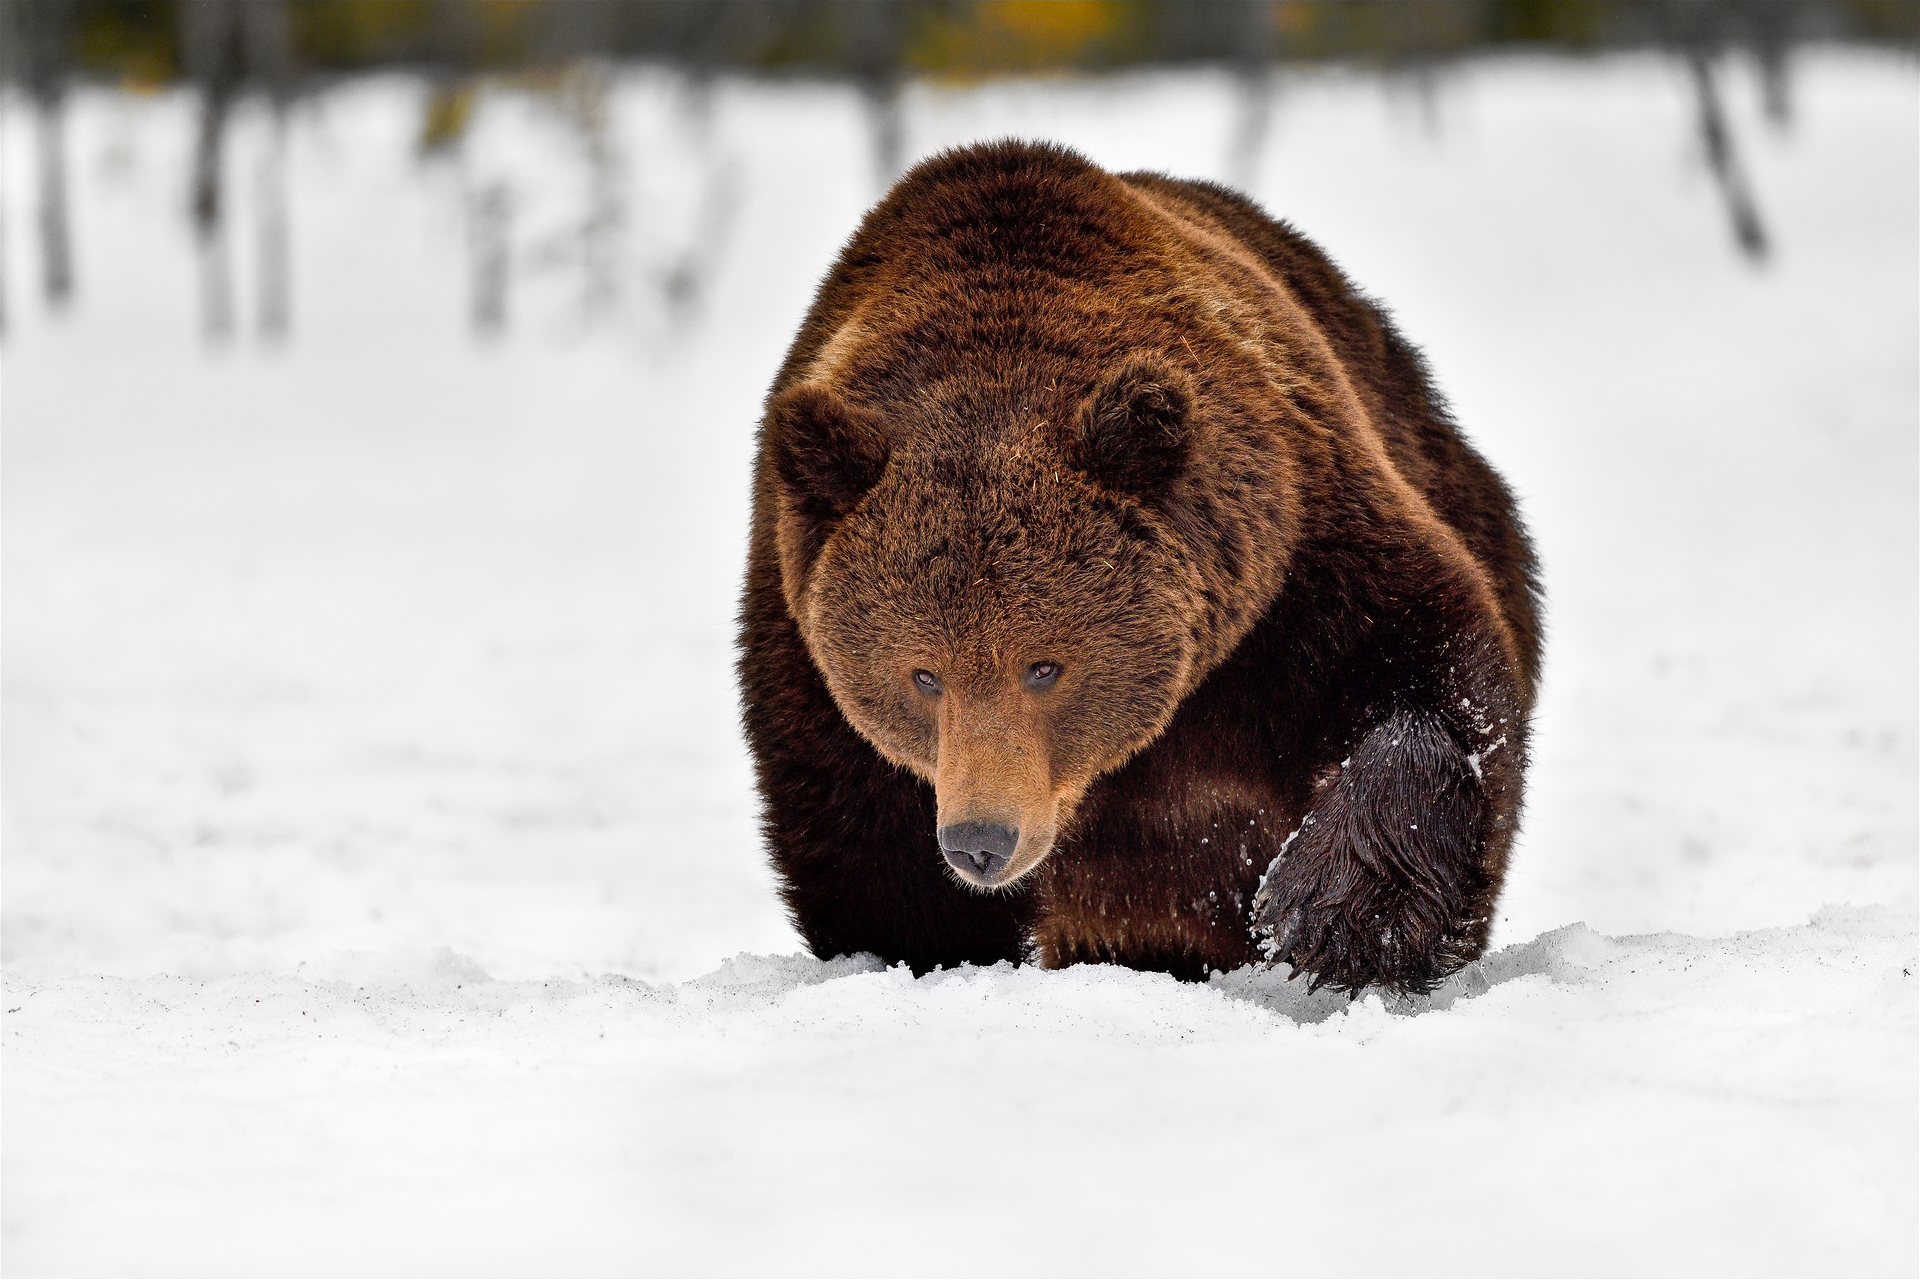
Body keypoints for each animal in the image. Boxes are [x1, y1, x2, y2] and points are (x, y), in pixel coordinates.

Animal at [737, 140, 1540, 995]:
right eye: (923, 675)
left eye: (1045, 666)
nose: (982, 839)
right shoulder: (803, 643)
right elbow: (864, 848)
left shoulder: (1292, 564)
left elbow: (1432, 675)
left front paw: (1332, 914)